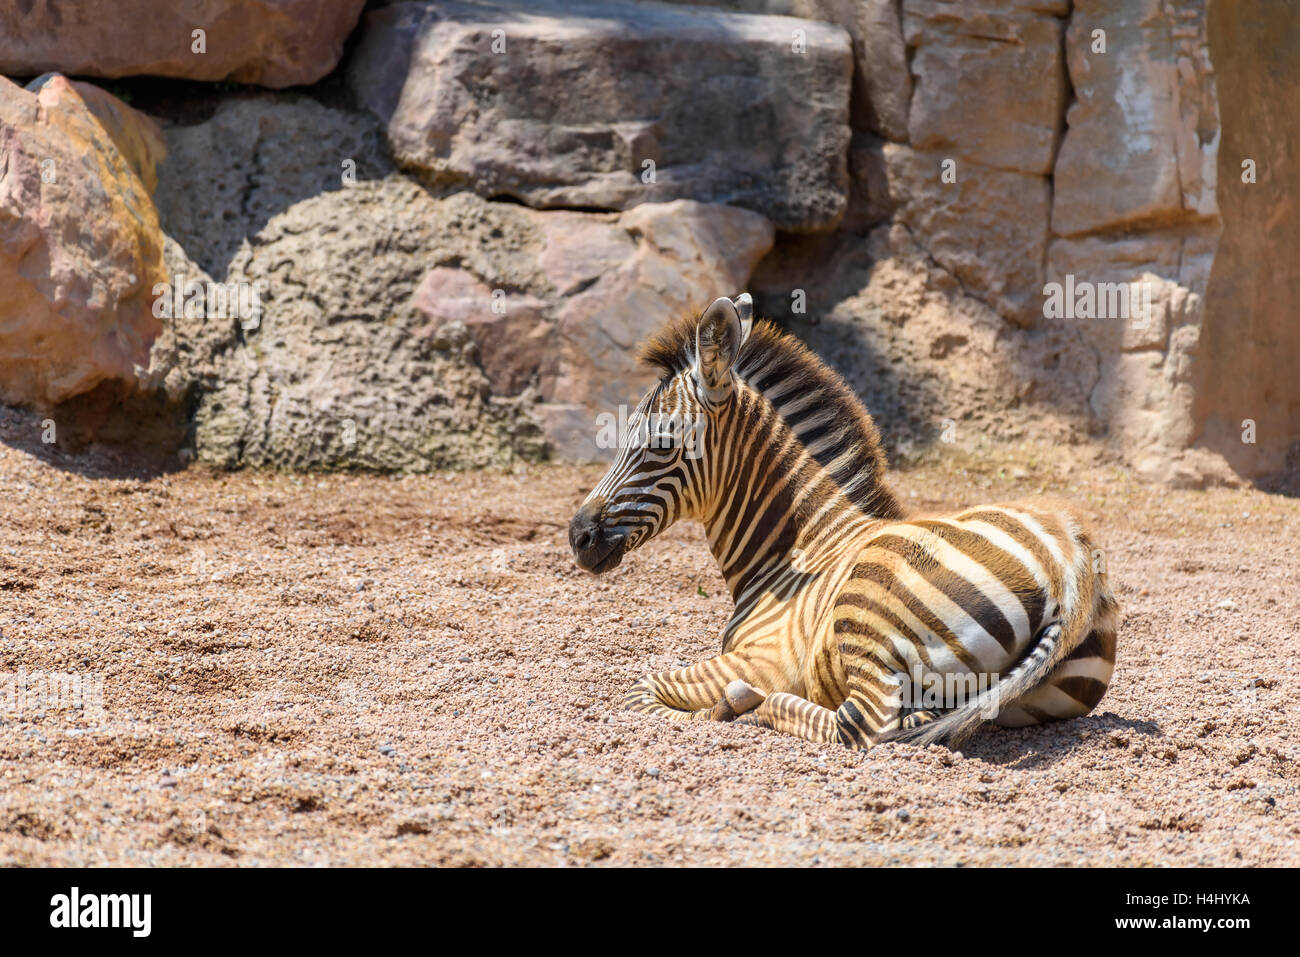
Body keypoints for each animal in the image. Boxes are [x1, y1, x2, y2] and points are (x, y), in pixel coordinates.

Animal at [569, 295, 1121, 750]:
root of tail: (1069, 567)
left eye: (661, 443)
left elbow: (640, 690)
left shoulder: (758, 659)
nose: (578, 536)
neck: (793, 551)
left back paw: (748, 707)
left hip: (868, 607)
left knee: (861, 725)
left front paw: (720, 708)